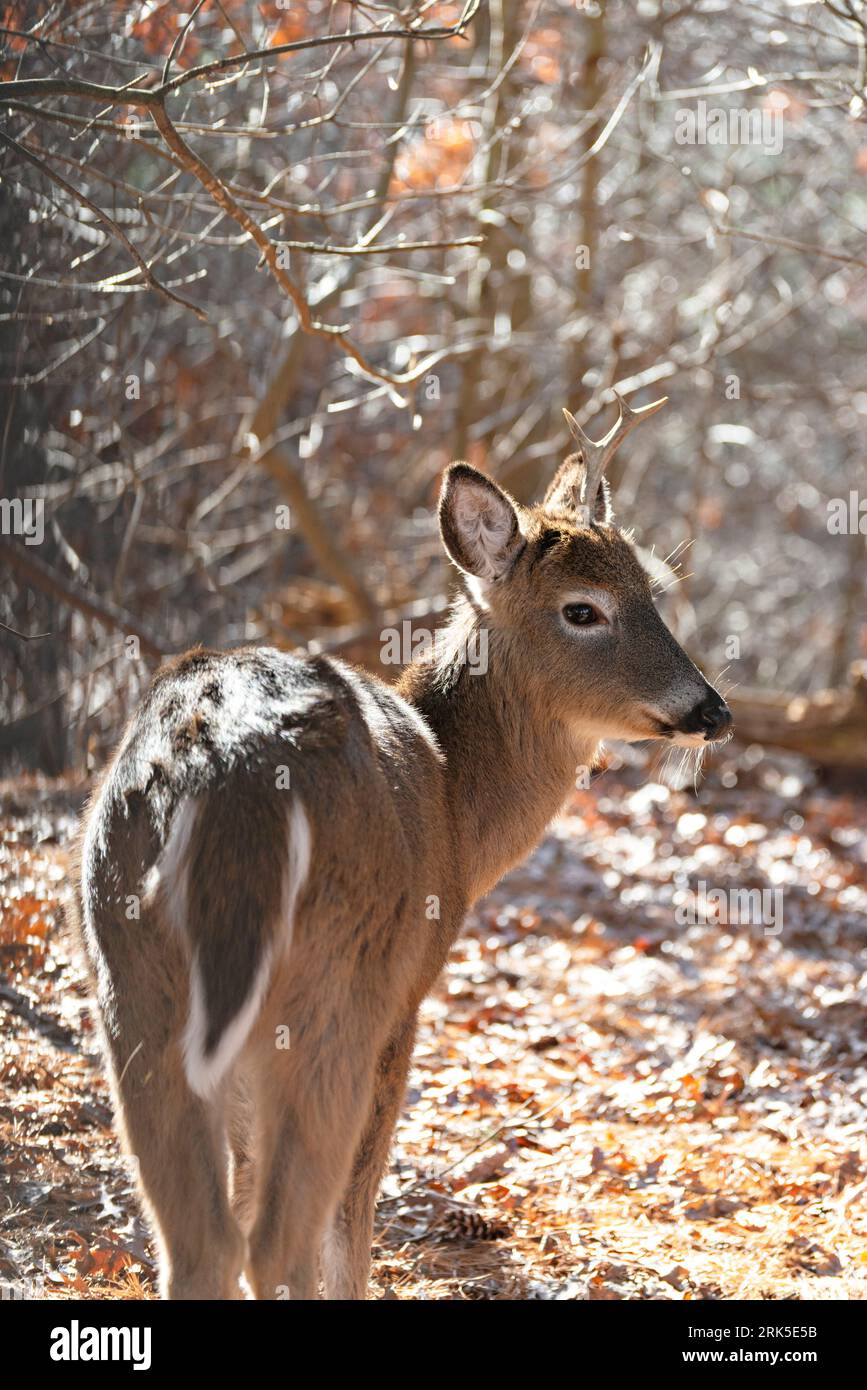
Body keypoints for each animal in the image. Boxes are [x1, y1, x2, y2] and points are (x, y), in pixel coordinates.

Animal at [72, 393, 731, 1300]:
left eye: (651, 591)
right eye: (582, 608)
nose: (711, 710)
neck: (456, 804)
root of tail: (229, 773)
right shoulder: (406, 993)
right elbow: (353, 1209)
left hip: (132, 975)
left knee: (200, 1243)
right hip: (335, 982)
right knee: (278, 1235)